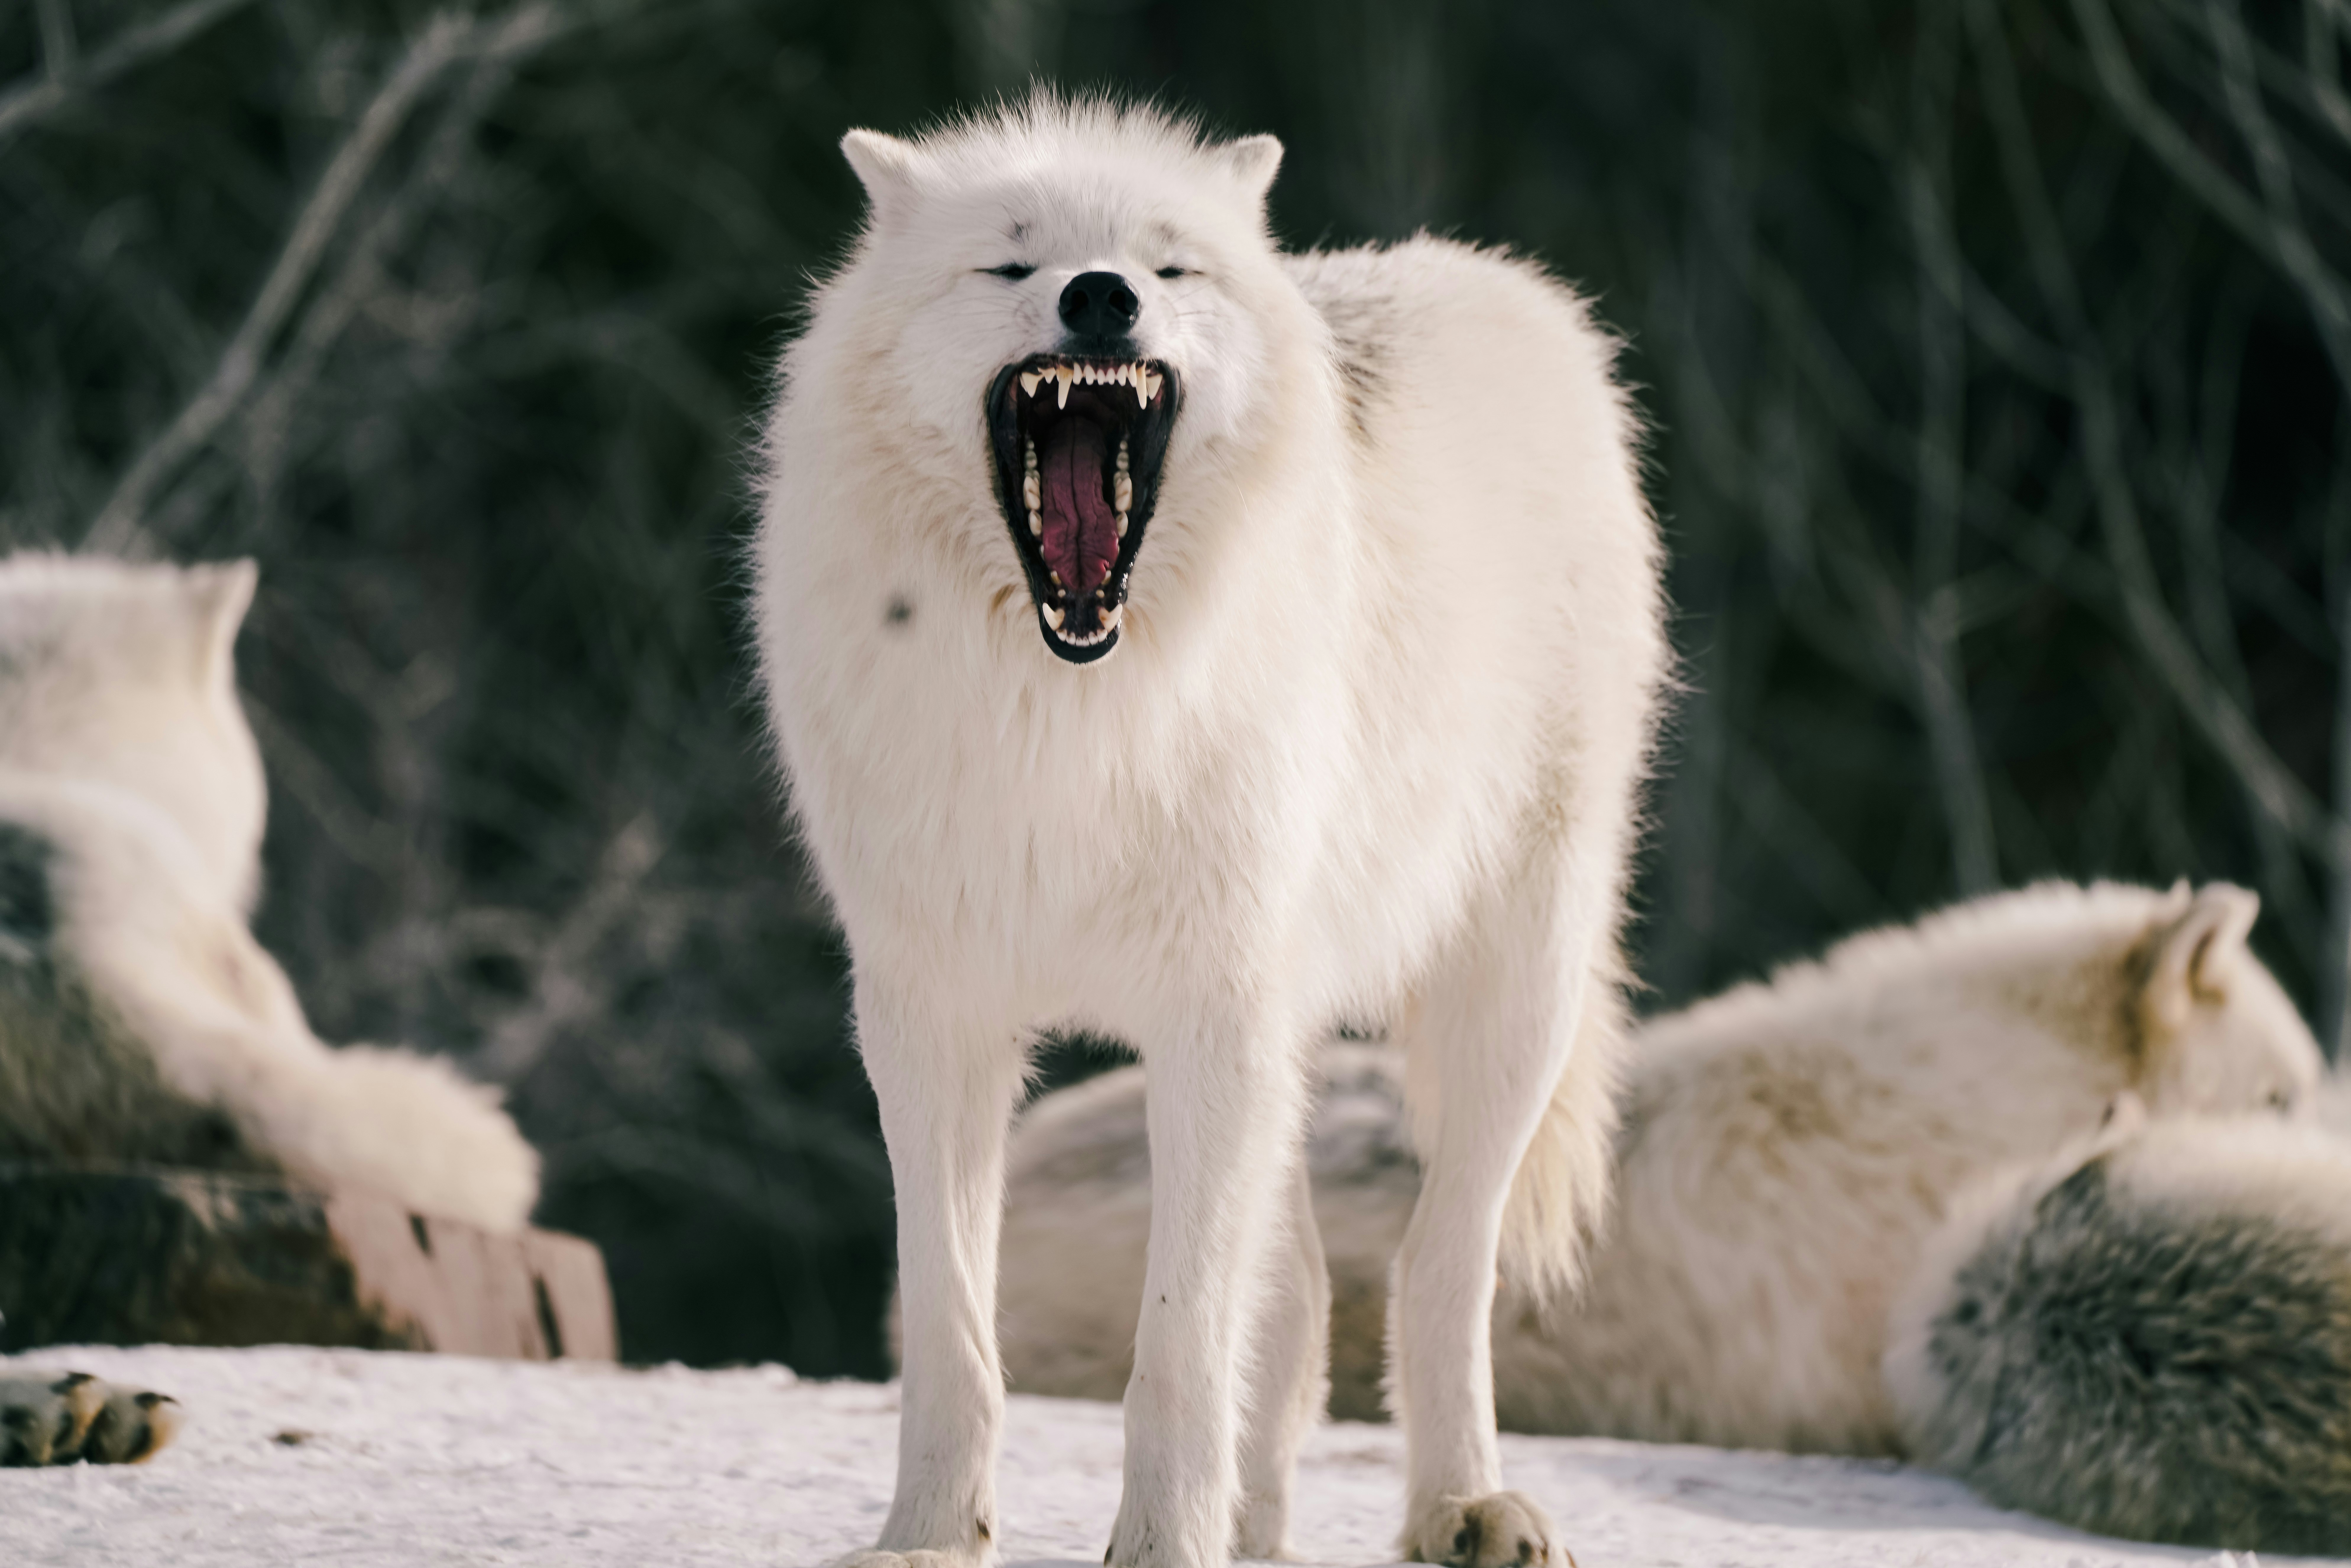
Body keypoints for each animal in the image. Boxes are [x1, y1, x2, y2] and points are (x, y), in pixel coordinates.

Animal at [753, 94, 1666, 1567]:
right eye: (1012, 263)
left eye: (1166, 265)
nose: (1100, 297)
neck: (1069, 714)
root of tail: (1497, 283)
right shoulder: (929, 1018)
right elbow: (953, 1328)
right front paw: (930, 1538)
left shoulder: (1208, 1016)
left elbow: (1178, 1348)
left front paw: (1162, 1544)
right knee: (1295, 1307)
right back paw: (1265, 1528)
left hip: (1506, 996)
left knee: (1436, 1264)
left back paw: (1463, 1505)